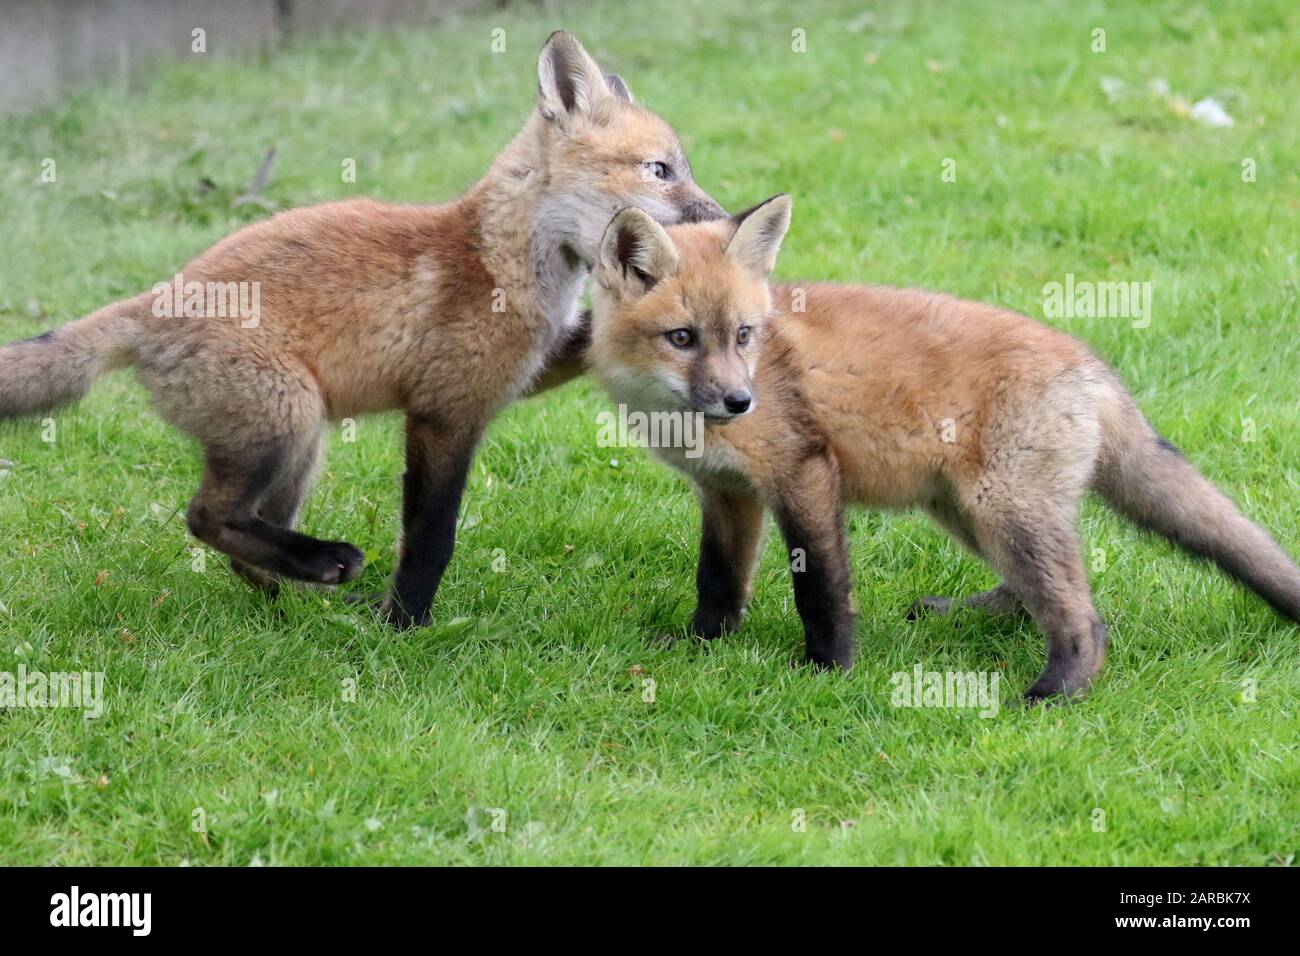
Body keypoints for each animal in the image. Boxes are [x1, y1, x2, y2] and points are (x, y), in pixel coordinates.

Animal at [0, 32, 723, 628]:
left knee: (239, 538)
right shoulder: (443, 412)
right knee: (206, 516)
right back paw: (324, 565)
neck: (503, 261)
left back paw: (295, 596)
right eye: (660, 169)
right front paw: (405, 623)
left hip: (301, 447)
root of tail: (152, 301)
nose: (721, 217)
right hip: (286, 417)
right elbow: (431, 537)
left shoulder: (526, 370)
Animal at [587, 194, 1300, 699]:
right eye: (682, 338)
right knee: (1033, 595)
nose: (740, 403)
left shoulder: (804, 473)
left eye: (743, 335)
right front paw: (703, 646)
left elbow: (821, 588)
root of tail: (1095, 367)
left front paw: (828, 669)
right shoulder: (727, 492)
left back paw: (1057, 691)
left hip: (1001, 509)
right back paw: (967, 615)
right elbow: (718, 579)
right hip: (965, 512)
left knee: (1084, 617)